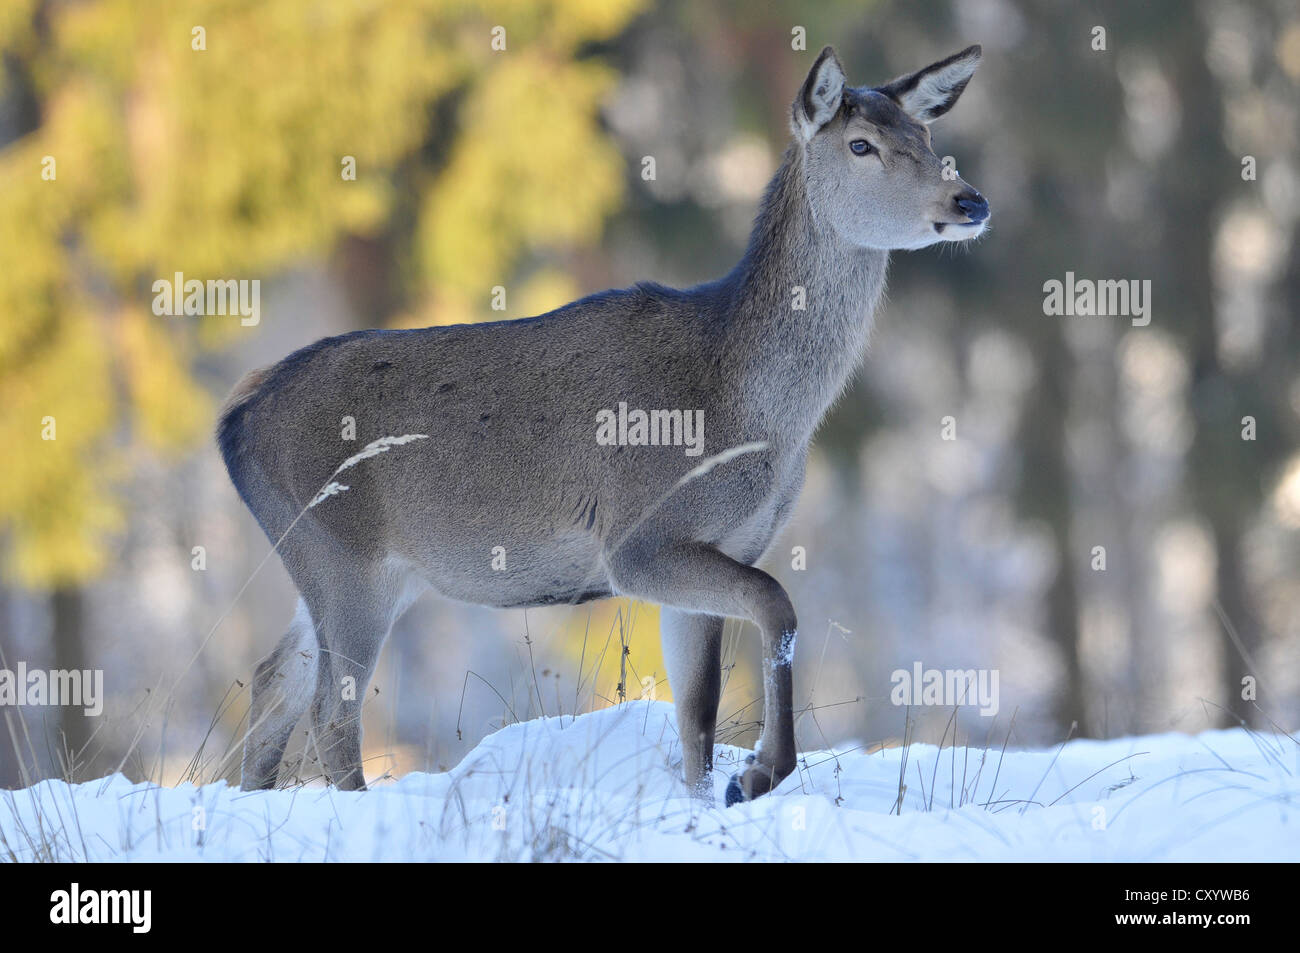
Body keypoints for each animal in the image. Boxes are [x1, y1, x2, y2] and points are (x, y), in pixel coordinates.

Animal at [218, 44, 989, 805]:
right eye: (861, 144)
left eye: (927, 139)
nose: (970, 200)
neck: (756, 411)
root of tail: (235, 417)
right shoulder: (639, 538)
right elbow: (776, 605)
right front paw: (758, 774)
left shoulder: (723, 543)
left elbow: (697, 710)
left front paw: (703, 799)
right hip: (346, 553)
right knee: (331, 709)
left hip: (336, 561)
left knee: (273, 682)